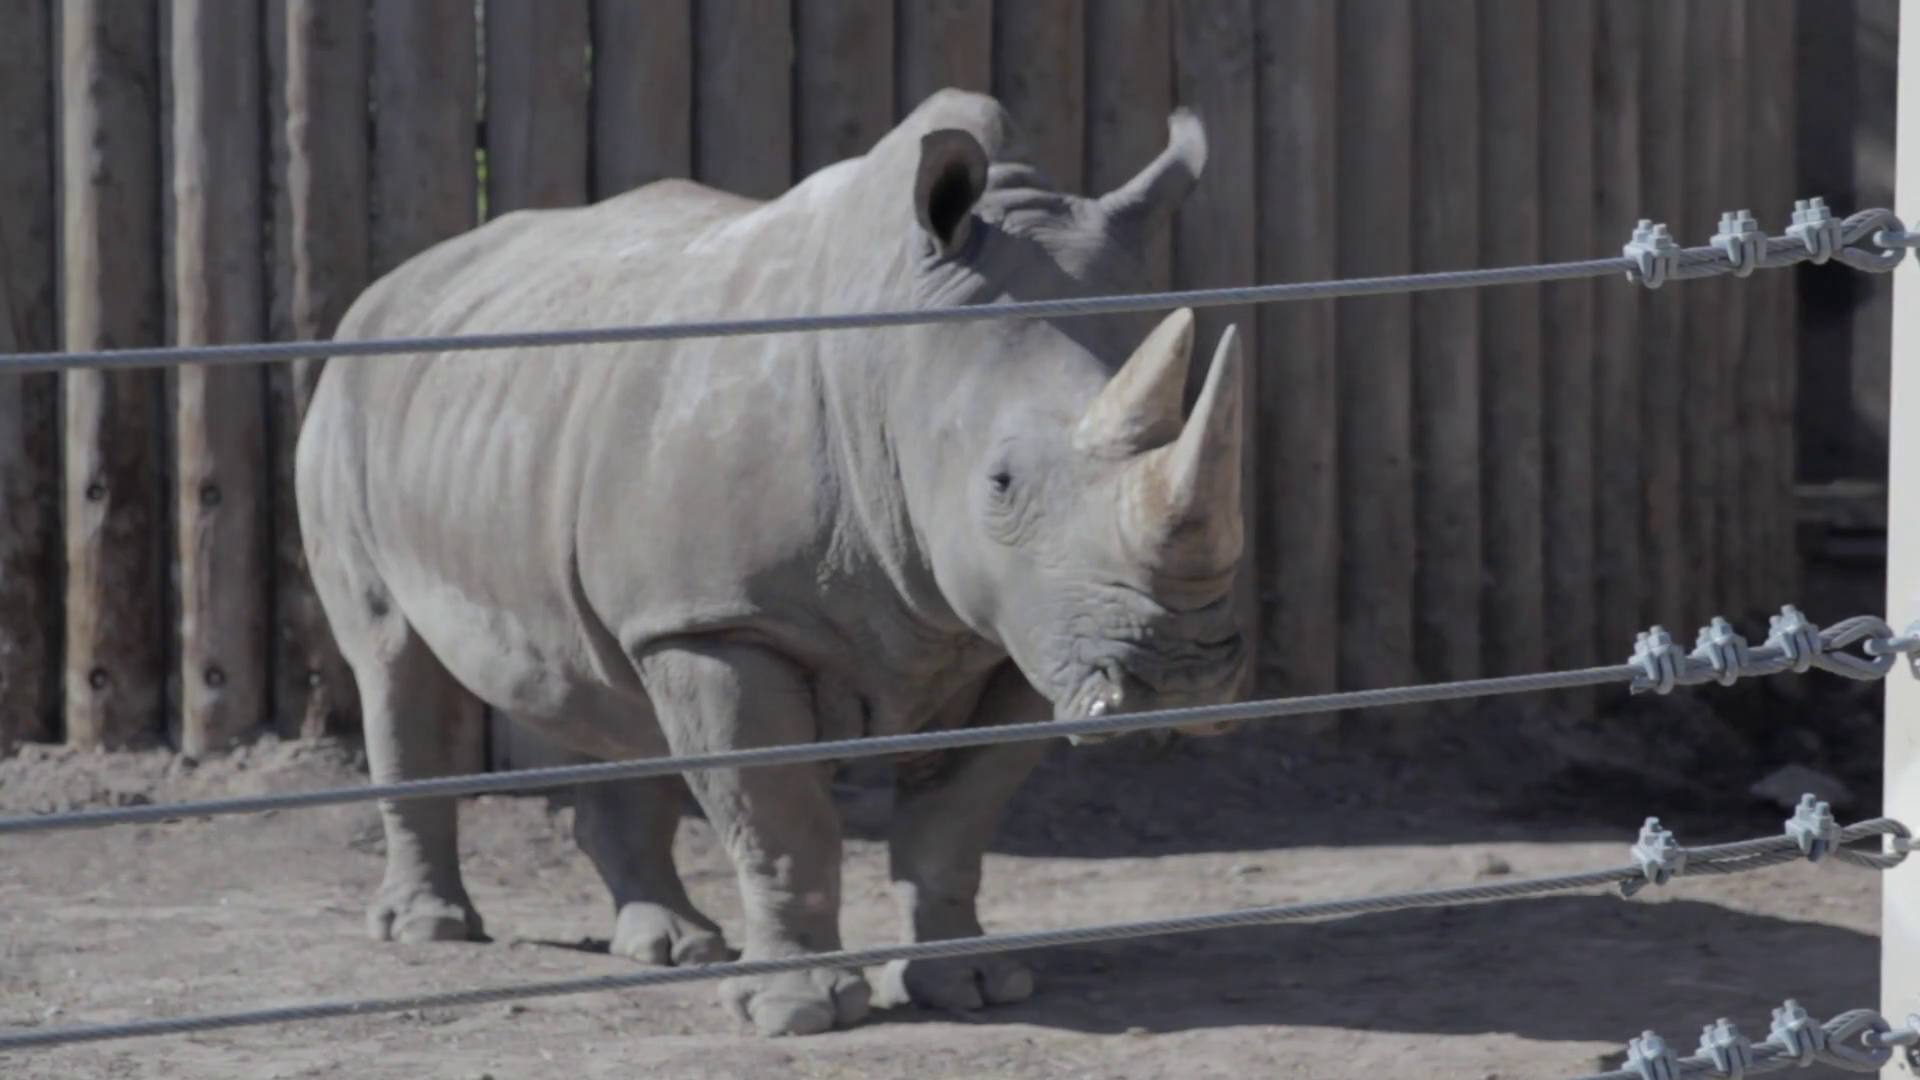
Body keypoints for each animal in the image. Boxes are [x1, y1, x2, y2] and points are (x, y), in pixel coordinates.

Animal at [294, 88, 1249, 1037]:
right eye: (1001, 482)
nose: (1184, 678)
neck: (898, 352)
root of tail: (396, 282)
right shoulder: (724, 621)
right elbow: (780, 815)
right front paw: (798, 1012)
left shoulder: (1016, 624)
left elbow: (954, 817)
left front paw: (977, 986)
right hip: (350, 397)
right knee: (393, 659)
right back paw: (431, 931)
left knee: (610, 684)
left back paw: (673, 945)